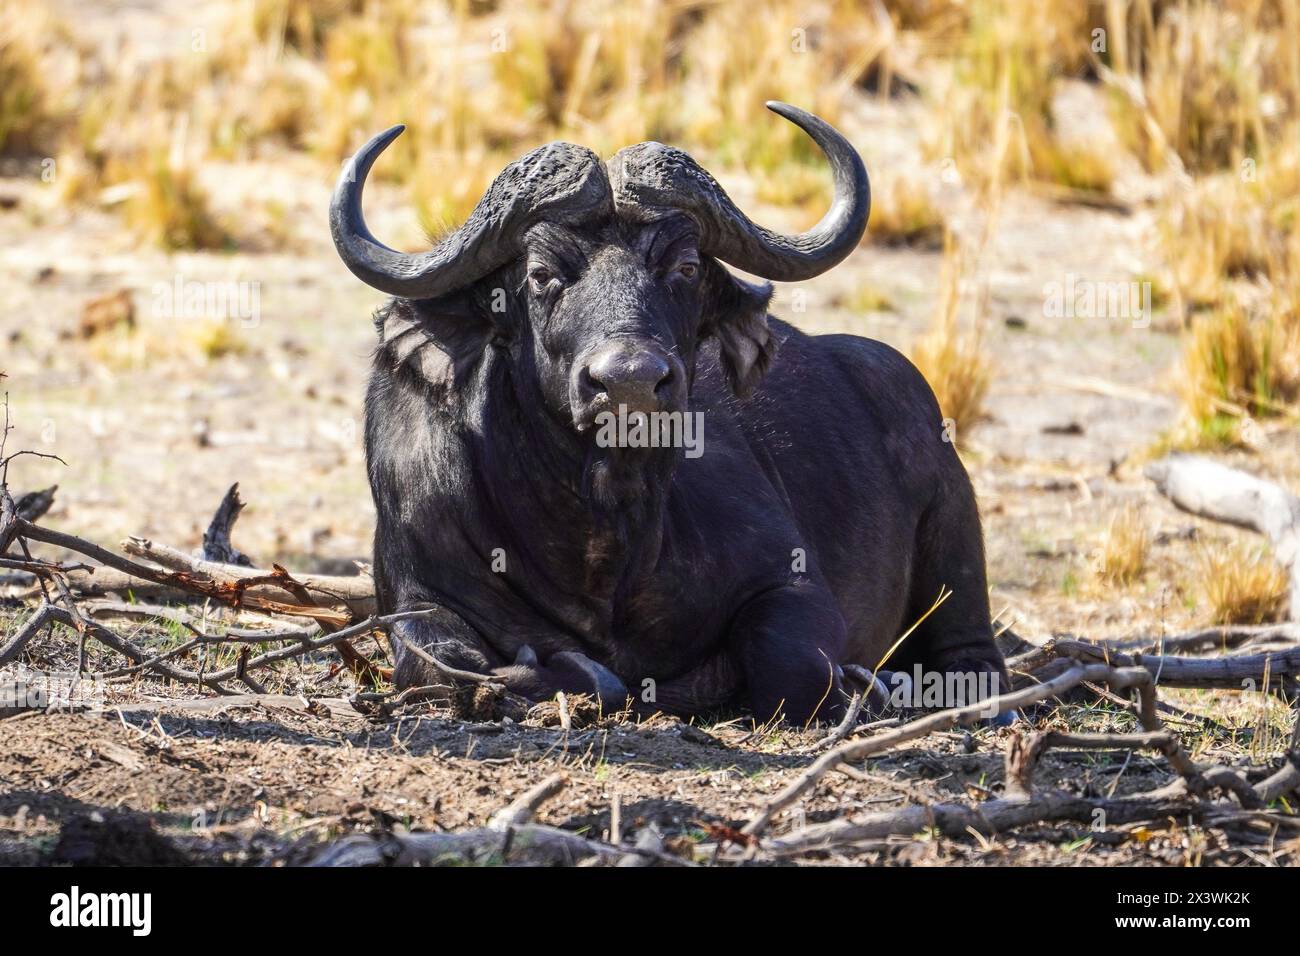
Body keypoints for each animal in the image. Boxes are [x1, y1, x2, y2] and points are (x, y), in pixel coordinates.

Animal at [330, 102, 1007, 724]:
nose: (629, 381)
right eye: (542, 274)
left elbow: (792, 669)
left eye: (683, 267)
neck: (602, 540)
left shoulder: (792, 581)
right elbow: (447, 669)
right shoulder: (418, 592)